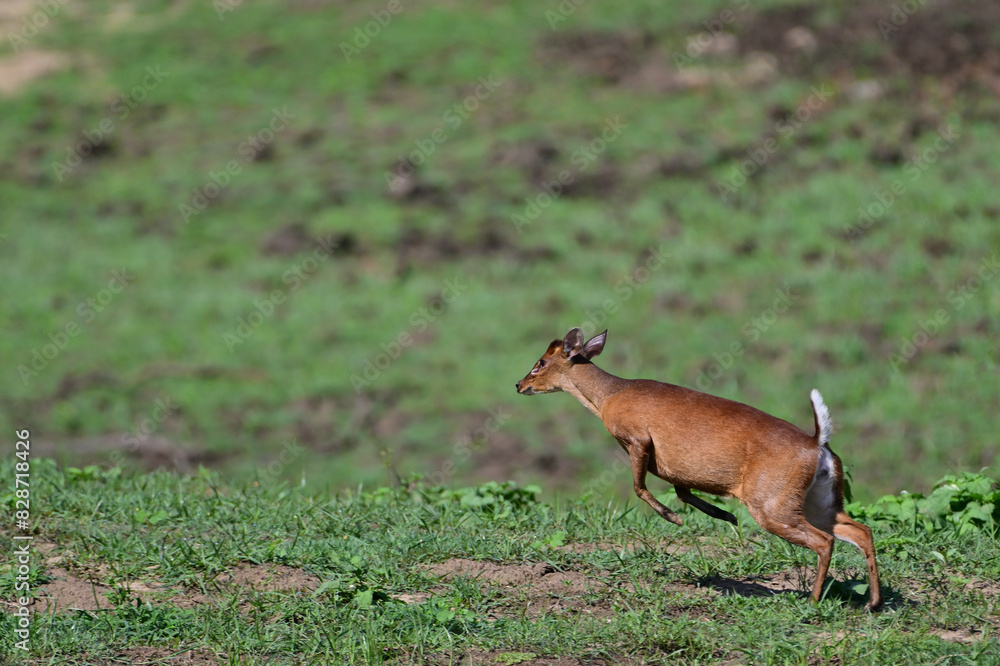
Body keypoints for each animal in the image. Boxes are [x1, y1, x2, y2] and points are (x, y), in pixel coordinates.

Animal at [515, 327, 881, 609]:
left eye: (541, 362)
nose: (518, 385)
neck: (607, 398)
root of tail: (818, 443)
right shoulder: (673, 467)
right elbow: (682, 492)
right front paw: (724, 516)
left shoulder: (638, 438)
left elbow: (639, 487)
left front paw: (676, 519)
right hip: (818, 499)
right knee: (859, 530)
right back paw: (873, 603)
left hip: (772, 502)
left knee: (824, 541)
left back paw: (814, 601)